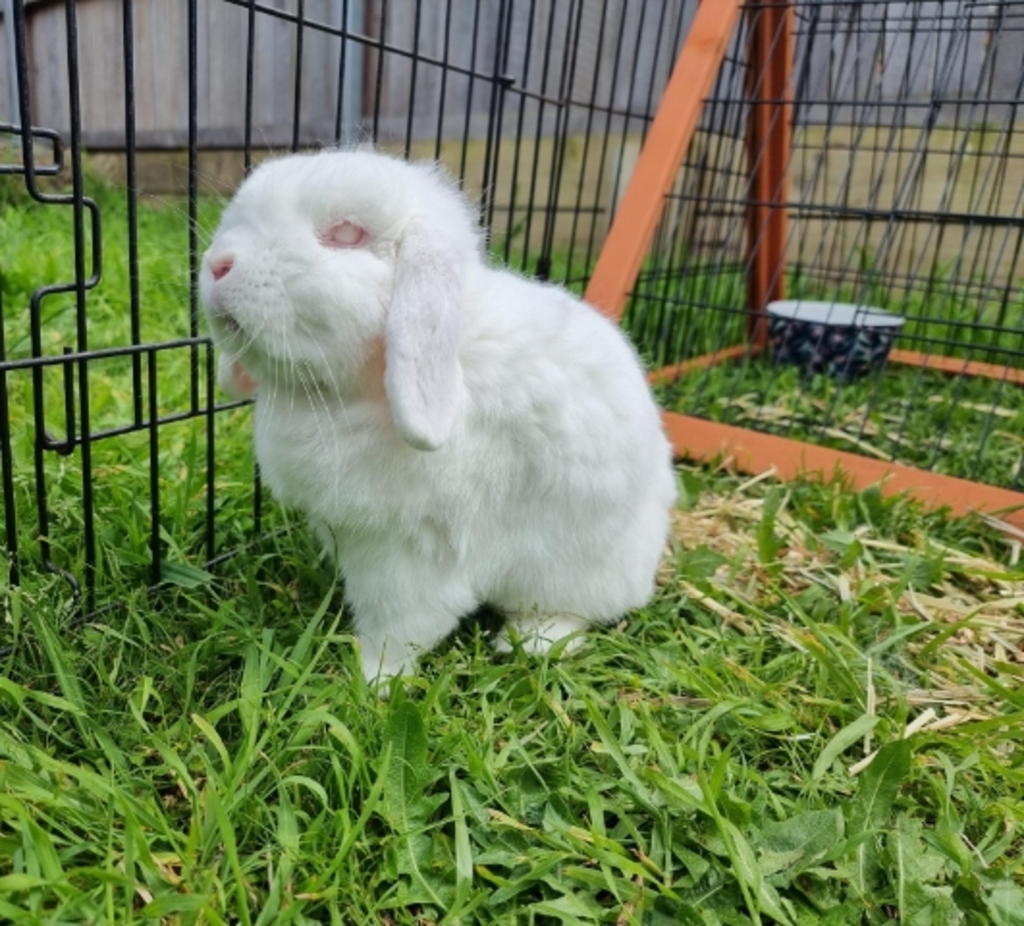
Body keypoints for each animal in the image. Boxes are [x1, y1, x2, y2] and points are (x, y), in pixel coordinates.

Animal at [200, 148, 677, 684]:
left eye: (346, 234)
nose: (217, 264)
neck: (356, 392)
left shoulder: (411, 552)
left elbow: (401, 621)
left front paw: (372, 680)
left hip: (576, 571)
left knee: (577, 612)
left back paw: (530, 643)